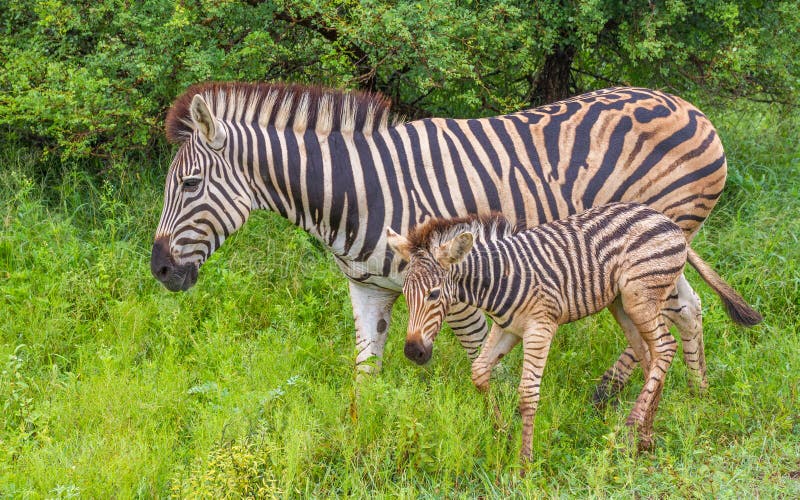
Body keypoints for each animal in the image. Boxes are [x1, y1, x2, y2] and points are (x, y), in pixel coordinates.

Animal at [151, 82, 728, 397]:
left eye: (190, 184)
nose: (159, 270)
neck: (358, 193)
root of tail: (688, 107)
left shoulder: (461, 290)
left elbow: (484, 361)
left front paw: (495, 427)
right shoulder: (369, 289)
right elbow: (365, 373)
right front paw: (359, 444)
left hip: (652, 244)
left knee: (667, 318)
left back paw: (613, 395)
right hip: (657, 250)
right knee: (690, 310)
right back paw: (694, 396)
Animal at [385, 203, 762, 463]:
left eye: (434, 295)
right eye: (405, 295)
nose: (413, 352)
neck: (499, 279)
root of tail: (666, 220)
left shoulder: (540, 326)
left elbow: (527, 394)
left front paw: (524, 462)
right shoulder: (507, 328)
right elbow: (479, 372)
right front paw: (501, 432)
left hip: (640, 297)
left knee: (665, 347)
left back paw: (629, 430)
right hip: (624, 303)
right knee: (653, 352)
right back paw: (646, 435)